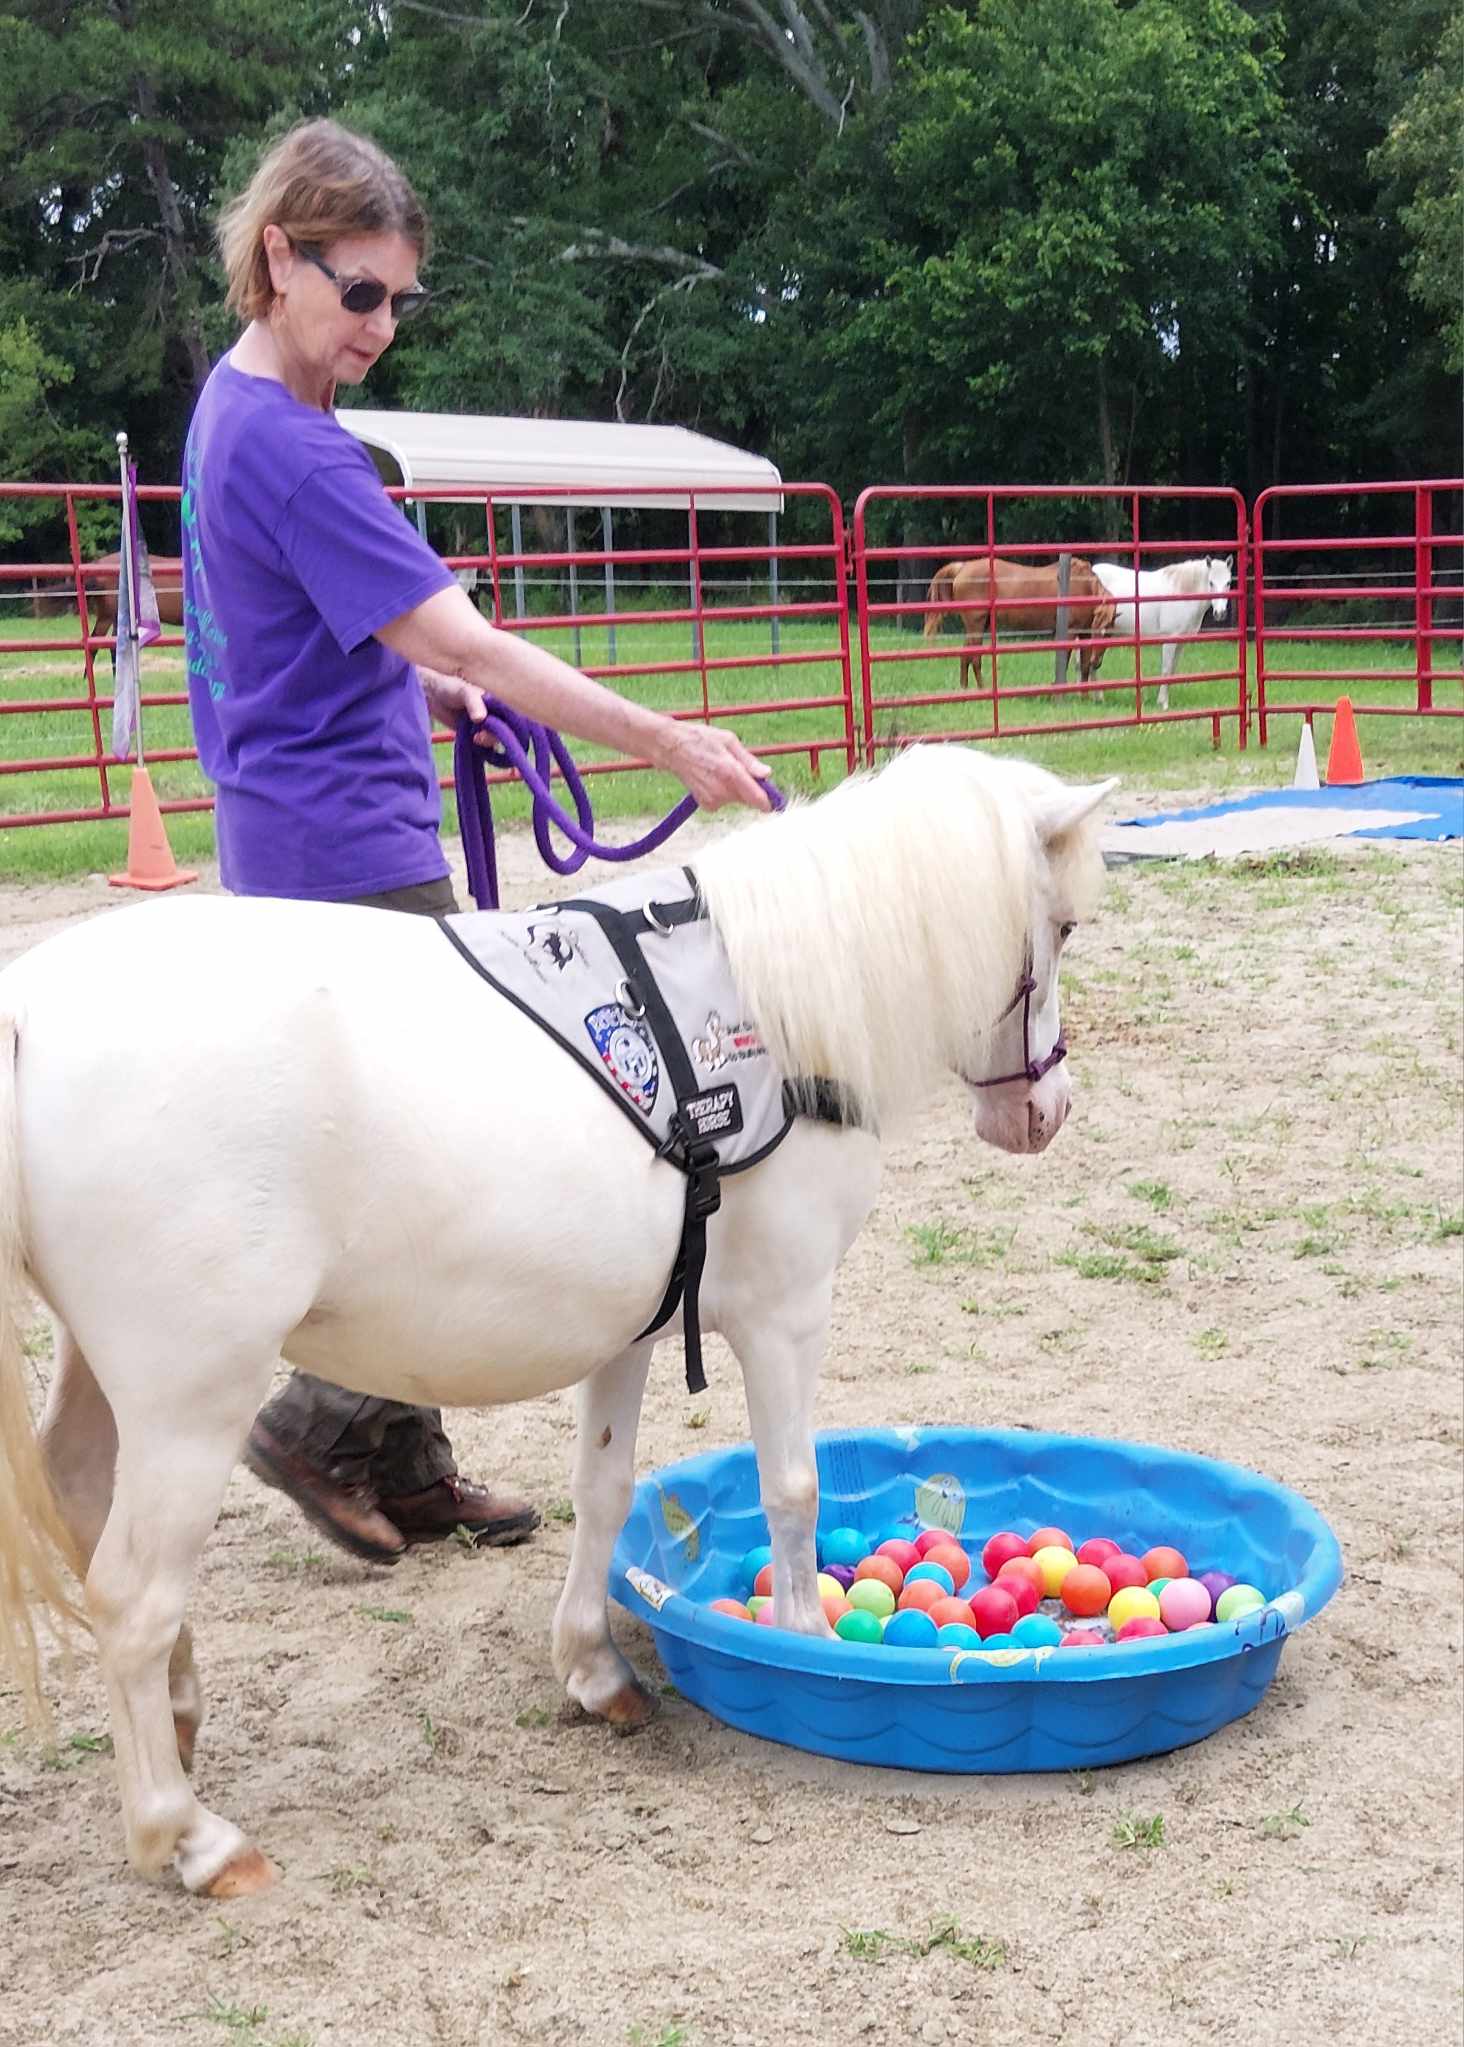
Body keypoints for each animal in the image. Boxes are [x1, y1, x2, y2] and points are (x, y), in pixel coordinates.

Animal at [0, 745, 1114, 1898]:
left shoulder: (635, 1325)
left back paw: (179, 1717)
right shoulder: (785, 1314)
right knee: (133, 1593)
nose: (1046, 1111)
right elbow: (792, 1490)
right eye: (1063, 927)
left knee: (85, 1508)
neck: (775, 1003)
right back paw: (185, 1831)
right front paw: (809, 1646)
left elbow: (606, 1490)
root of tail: (29, 1008)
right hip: (192, 1395)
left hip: (109, 1372)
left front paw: (591, 1668)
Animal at [922, 557, 1118, 692]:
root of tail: (963, 567)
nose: (1097, 663)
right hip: (975, 625)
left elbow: (1084, 667)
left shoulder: (1083, 633)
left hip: (977, 626)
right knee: (975, 658)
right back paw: (983, 689)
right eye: (1099, 631)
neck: (1083, 585)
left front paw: (1084, 696)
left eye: (1108, 634)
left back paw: (965, 688)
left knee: (966, 656)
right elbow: (1064, 663)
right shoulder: (1070, 632)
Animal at [1087, 557, 1233, 709]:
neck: (1181, 593)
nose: (1220, 613)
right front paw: (1163, 703)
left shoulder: (1180, 643)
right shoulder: (1170, 640)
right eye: (1211, 582)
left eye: (1228, 582)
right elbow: (1166, 669)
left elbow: (1172, 670)